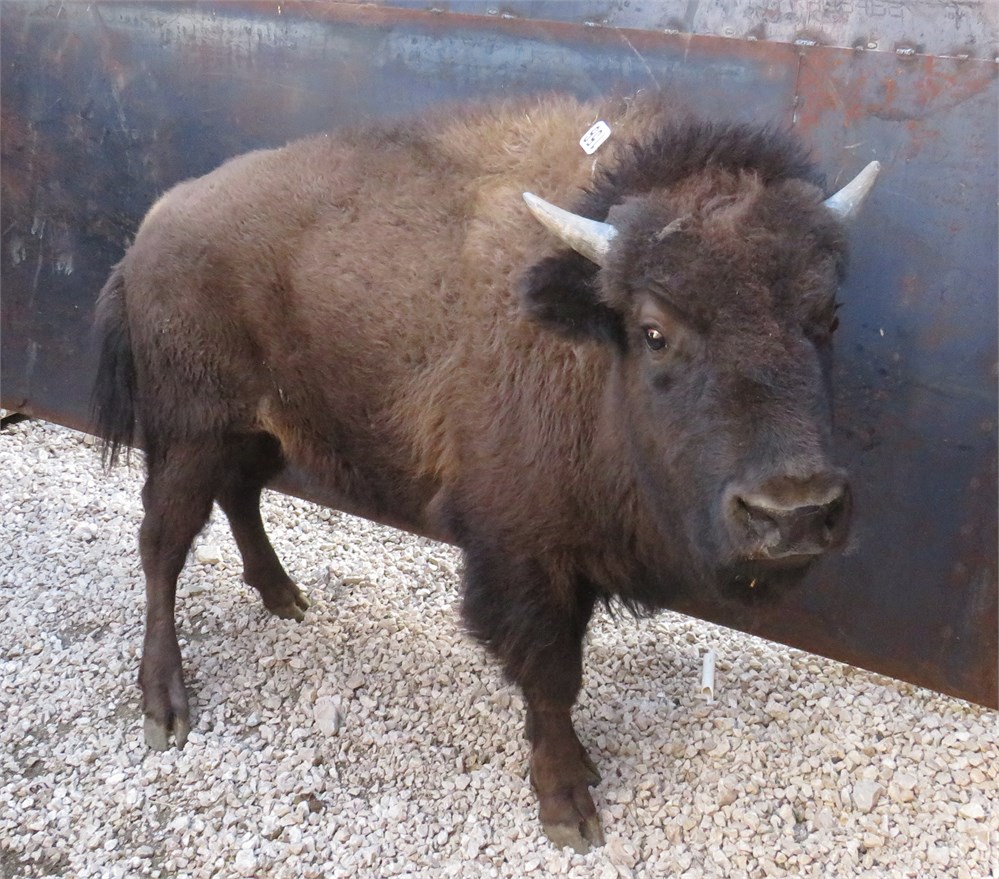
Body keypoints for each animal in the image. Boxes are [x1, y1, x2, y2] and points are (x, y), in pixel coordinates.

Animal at [91, 92, 879, 852]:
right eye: (655, 331)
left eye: (829, 317)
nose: (793, 512)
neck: (585, 340)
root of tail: (153, 226)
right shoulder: (522, 555)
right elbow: (551, 674)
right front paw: (568, 806)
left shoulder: (565, 557)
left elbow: (559, 669)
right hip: (189, 436)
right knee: (163, 543)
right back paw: (165, 706)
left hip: (256, 430)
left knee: (239, 498)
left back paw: (284, 596)